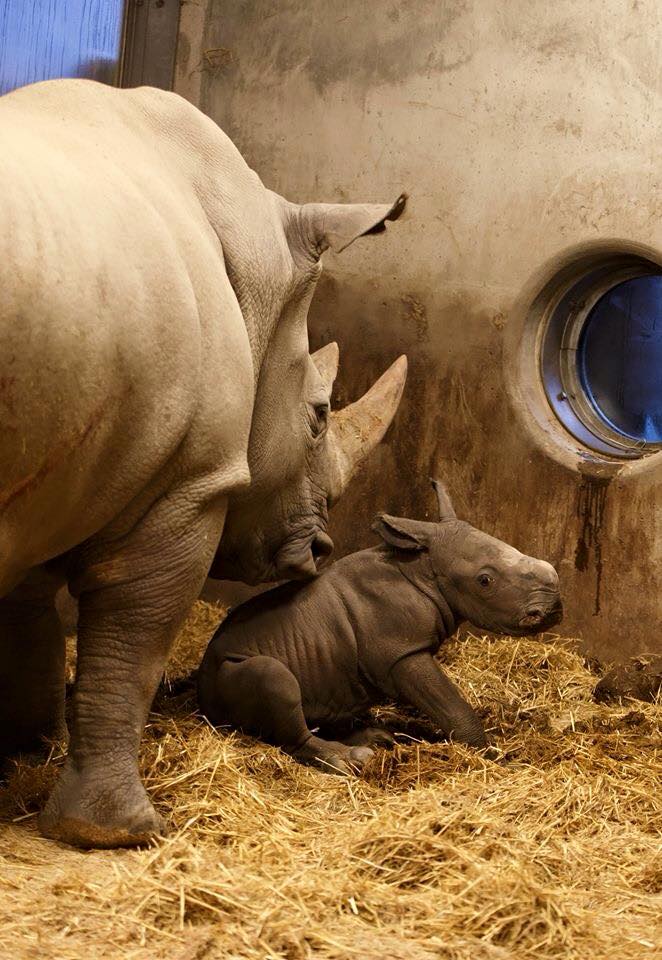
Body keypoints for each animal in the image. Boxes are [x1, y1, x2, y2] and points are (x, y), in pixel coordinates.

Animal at [0, 79, 407, 847]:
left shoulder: (58, 466)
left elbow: (28, 616)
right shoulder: (190, 485)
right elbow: (133, 645)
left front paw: (25, 748)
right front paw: (116, 831)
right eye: (317, 415)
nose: (322, 551)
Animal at [198, 481, 563, 772]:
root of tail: (201, 683)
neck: (423, 568)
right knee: (275, 680)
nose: (553, 609)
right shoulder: (400, 653)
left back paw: (375, 738)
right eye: (485, 581)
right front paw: (491, 755)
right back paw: (350, 760)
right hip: (230, 668)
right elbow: (453, 707)